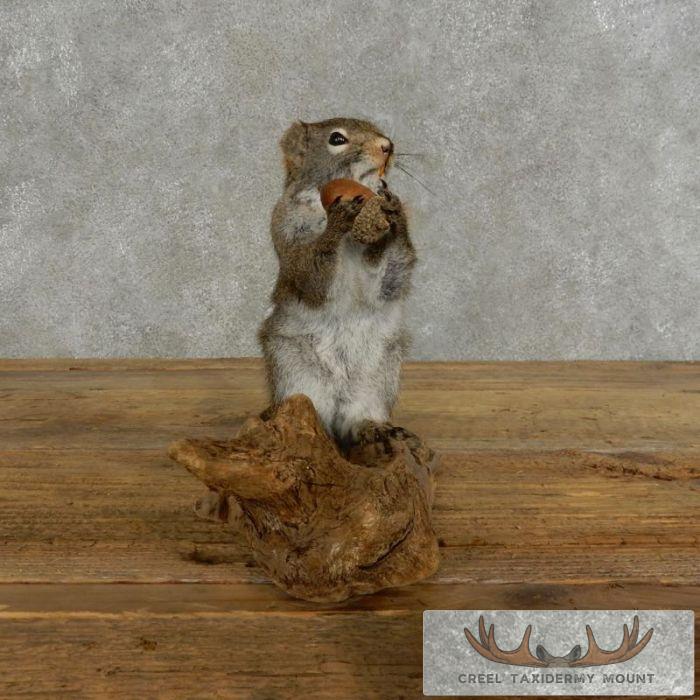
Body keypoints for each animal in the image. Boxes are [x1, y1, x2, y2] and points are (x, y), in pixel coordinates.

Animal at [259, 118, 417, 448]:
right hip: (294, 374)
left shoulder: (378, 277)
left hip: (377, 381)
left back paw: (376, 429)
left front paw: (395, 213)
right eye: (336, 139)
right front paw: (337, 221)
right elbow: (311, 275)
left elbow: (387, 281)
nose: (388, 146)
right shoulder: (286, 232)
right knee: (310, 412)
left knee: (356, 419)